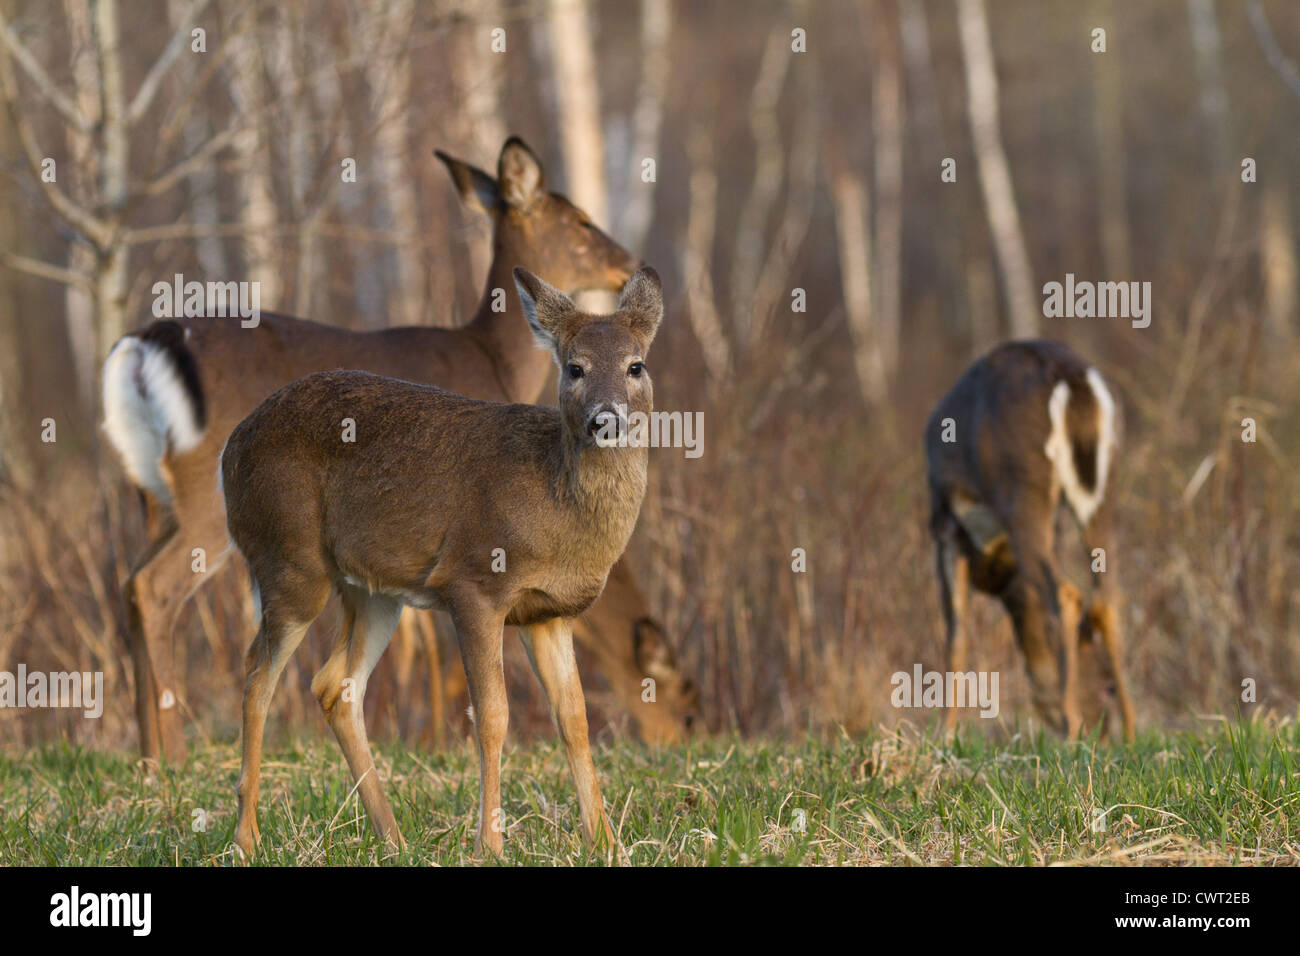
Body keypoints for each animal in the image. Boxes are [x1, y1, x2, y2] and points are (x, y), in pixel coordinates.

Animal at [100, 137, 699, 766]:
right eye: (580, 219)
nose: (628, 260)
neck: (493, 360)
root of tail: (143, 343)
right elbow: (435, 648)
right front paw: (431, 737)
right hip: (204, 493)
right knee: (156, 588)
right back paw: (171, 753)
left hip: (152, 497)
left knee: (131, 583)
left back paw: (148, 752)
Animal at [220, 266, 664, 857]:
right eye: (575, 367)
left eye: (636, 365)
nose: (606, 419)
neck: (558, 508)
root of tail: (229, 448)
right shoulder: (473, 583)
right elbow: (493, 716)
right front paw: (490, 845)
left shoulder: (549, 614)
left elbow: (574, 718)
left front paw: (607, 843)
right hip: (289, 559)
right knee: (256, 676)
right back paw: (247, 840)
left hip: (372, 591)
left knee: (335, 685)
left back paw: (393, 840)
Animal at [924, 340, 1137, 742]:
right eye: (1105, 686)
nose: (1102, 733)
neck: (1002, 576)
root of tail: (1072, 377)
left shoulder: (946, 525)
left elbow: (955, 635)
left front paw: (943, 733)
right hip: (1105, 490)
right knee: (1108, 601)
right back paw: (1132, 733)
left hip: (1024, 487)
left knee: (1066, 594)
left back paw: (1071, 728)